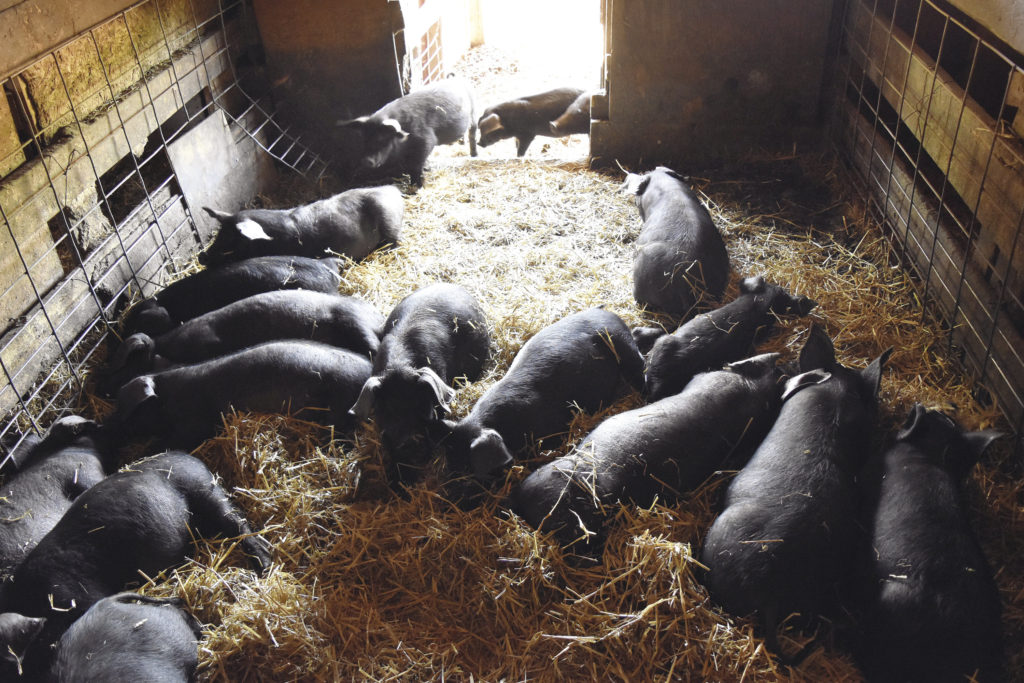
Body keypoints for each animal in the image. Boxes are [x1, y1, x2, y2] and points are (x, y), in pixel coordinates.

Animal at [198, 185, 403, 267]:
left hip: (389, 223)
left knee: (395, 243)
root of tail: (393, 190)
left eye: (234, 239)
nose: (202, 256)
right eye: (219, 234)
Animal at [336, 77, 477, 187]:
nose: (366, 161)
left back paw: (474, 155)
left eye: (382, 139)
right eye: (364, 140)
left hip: (474, 112)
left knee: (472, 132)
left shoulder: (426, 141)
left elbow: (415, 166)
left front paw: (417, 185)